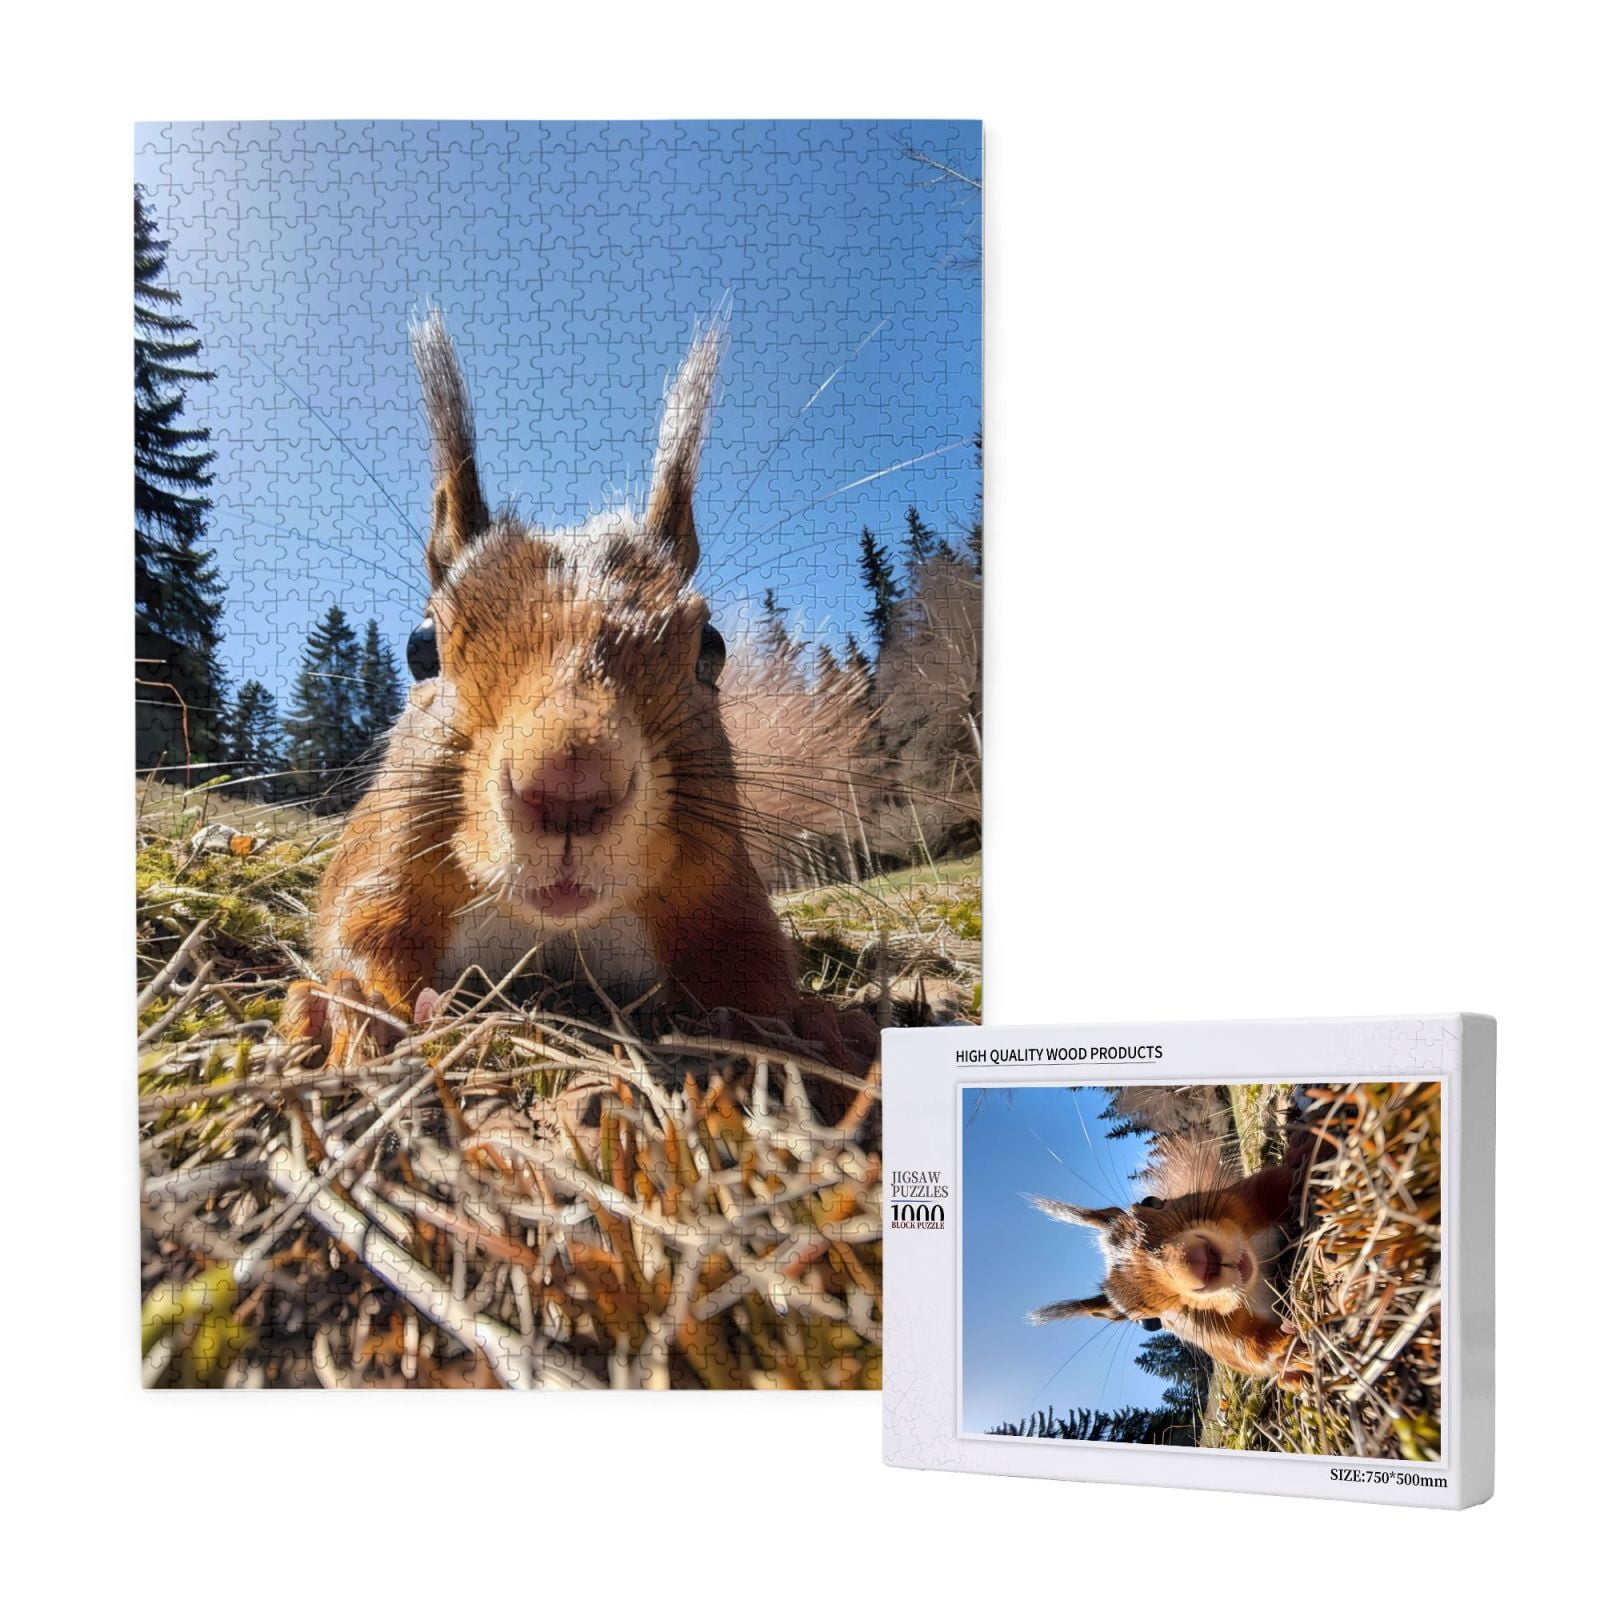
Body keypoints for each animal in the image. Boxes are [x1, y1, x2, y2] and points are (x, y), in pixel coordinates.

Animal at [284, 311, 875, 1076]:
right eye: (420, 649)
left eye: (711, 649)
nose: (569, 786)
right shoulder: (384, 859)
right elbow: (359, 927)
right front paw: (350, 1006)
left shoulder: (725, 894)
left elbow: (755, 964)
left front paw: (812, 1022)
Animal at [1028, 1132, 1315, 1385]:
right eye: (1149, 1324)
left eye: (1151, 1202)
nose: (1199, 1262)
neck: (1259, 1269)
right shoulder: (1223, 1338)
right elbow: (1249, 1352)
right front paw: (1290, 1350)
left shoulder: (1242, 1201)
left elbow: (1275, 1184)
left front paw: (1301, 1157)